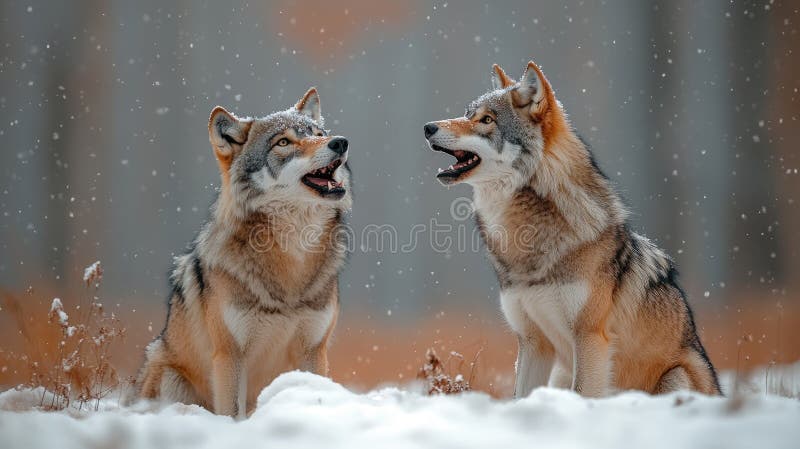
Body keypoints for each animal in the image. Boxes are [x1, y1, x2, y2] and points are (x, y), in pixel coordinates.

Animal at [135, 88, 352, 417]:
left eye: (318, 134)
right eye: (284, 142)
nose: (339, 142)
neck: (291, 255)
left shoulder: (314, 350)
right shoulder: (230, 355)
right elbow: (232, 414)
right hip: (170, 376)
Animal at [423, 61, 721, 397]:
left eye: (486, 120)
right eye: (467, 114)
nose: (428, 127)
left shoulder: (590, 338)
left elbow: (583, 392)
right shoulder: (532, 342)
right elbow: (520, 396)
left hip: (675, 376)